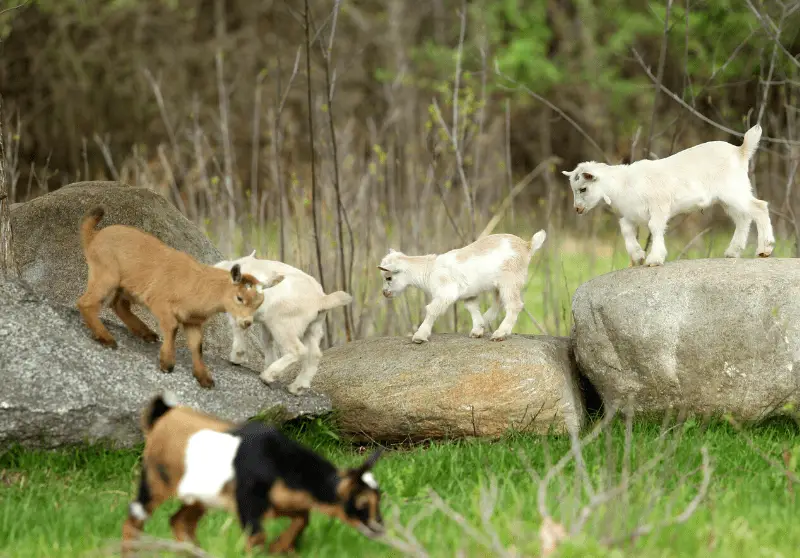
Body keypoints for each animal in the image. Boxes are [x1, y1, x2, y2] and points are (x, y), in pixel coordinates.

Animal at [77, 207, 283, 388]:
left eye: (259, 302)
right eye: (239, 297)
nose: (247, 322)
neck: (198, 284)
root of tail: (93, 236)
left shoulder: (193, 322)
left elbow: (197, 346)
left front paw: (204, 378)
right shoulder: (161, 303)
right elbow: (173, 328)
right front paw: (167, 364)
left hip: (123, 286)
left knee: (118, 305)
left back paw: (146, 333)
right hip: (106, 276)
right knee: (86, 302)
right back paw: (107, 339)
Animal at [121, 392, 385, 556]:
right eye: (361, 503)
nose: (379, 528)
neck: (279, 461)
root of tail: (164, 416)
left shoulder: (284, 503)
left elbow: (302, 519)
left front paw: (281, 548)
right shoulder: (249, 505)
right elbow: (257, 537)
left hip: (201, 497)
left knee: (178, 521)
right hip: (155, 481)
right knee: (134, 519)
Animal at [214, 251, 352, 396]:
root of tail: (321, 299)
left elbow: (238, 328)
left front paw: (237, 357)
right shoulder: (264, 323)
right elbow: (266, 341)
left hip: (282, 324)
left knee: (298, 350)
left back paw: (268, 376)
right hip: (313, 327)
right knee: (314, 354)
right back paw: (297, 387)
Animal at [378, 230, 547, 343]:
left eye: (388, 277)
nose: (385, 293)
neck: (429, 269)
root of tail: (527, 246)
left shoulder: (446, 292)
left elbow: (431, 310)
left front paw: (420, 336)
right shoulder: (468, 294)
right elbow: (472, 307)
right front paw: (477, 329)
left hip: (510, 280)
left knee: (514, 305)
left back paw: (500, 333)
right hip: (499, 284)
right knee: (498, 303)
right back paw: (486, 321)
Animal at [562, 124, 775, 267]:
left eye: (583, 188)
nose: (577, 209)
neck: (624, 183)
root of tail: (740, 151)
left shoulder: (659, 205)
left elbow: (655, 228)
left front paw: (654, 259)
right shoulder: (630, 215)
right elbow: (626, 231)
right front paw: (638, 256)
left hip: (733, 190)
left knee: (759, 207)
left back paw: (764, 249)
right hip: (728, 197)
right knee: (743, 218)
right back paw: (733, 251)